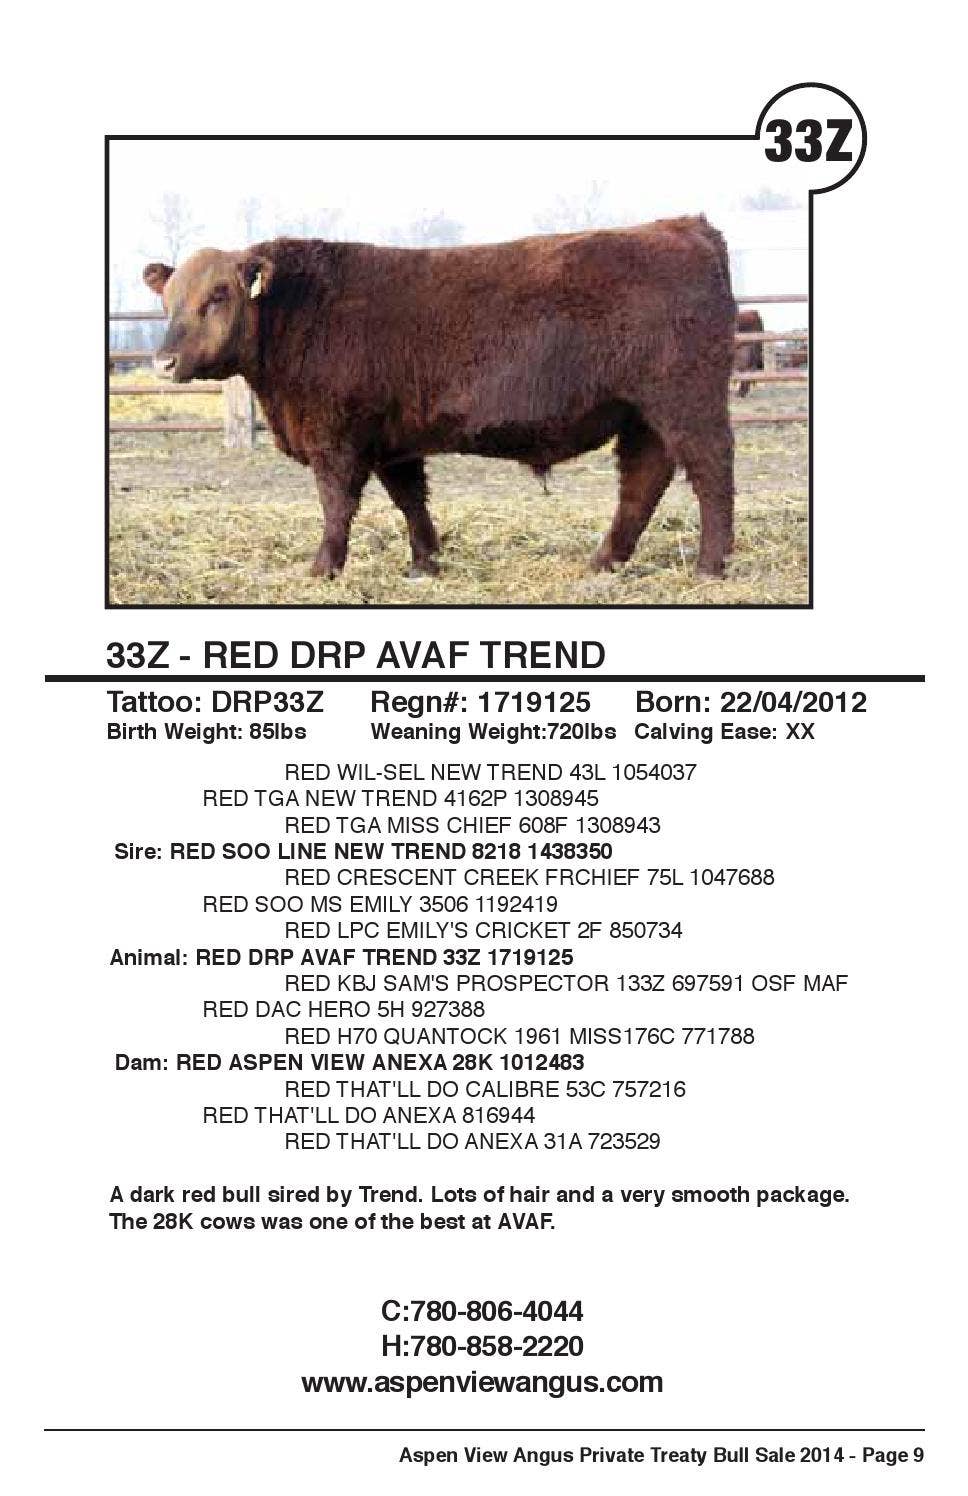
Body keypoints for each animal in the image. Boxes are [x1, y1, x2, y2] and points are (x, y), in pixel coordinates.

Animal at [143, 215, 736, 580]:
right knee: (642, 481)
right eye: (168, 300)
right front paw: (425, 563)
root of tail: (683, 227)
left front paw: (323, 568)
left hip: (687, 402)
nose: (164, 361)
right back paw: (604, 562)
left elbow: (337, 504)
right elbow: (411, 500)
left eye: (218, 295)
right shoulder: (390, 439)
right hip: (642, 415)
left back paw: (710, 566)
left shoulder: (336, 437)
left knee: (711, 474)